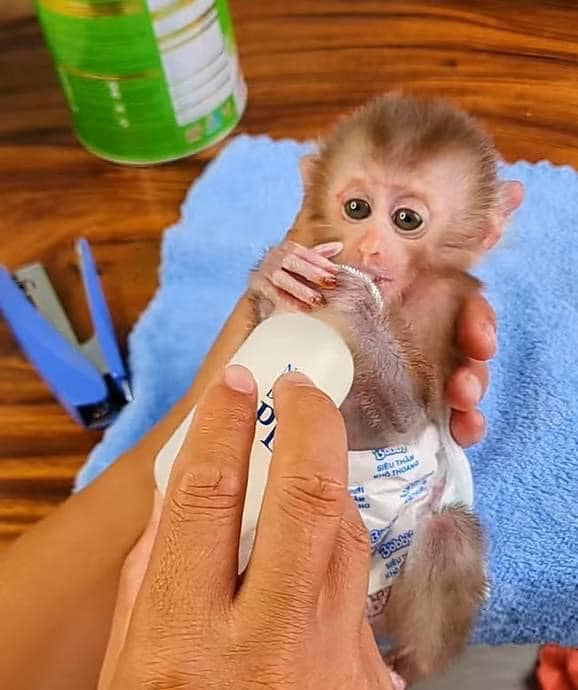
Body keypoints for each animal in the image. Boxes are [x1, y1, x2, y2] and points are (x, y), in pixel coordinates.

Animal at [247, 92, 523, 684]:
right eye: (357, 209)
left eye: (406, 219)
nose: (370, 249)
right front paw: (277, 271)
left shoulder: (444, 307)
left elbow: (409, 423)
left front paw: (355, 301)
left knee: (447, 535)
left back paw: (404, 668)